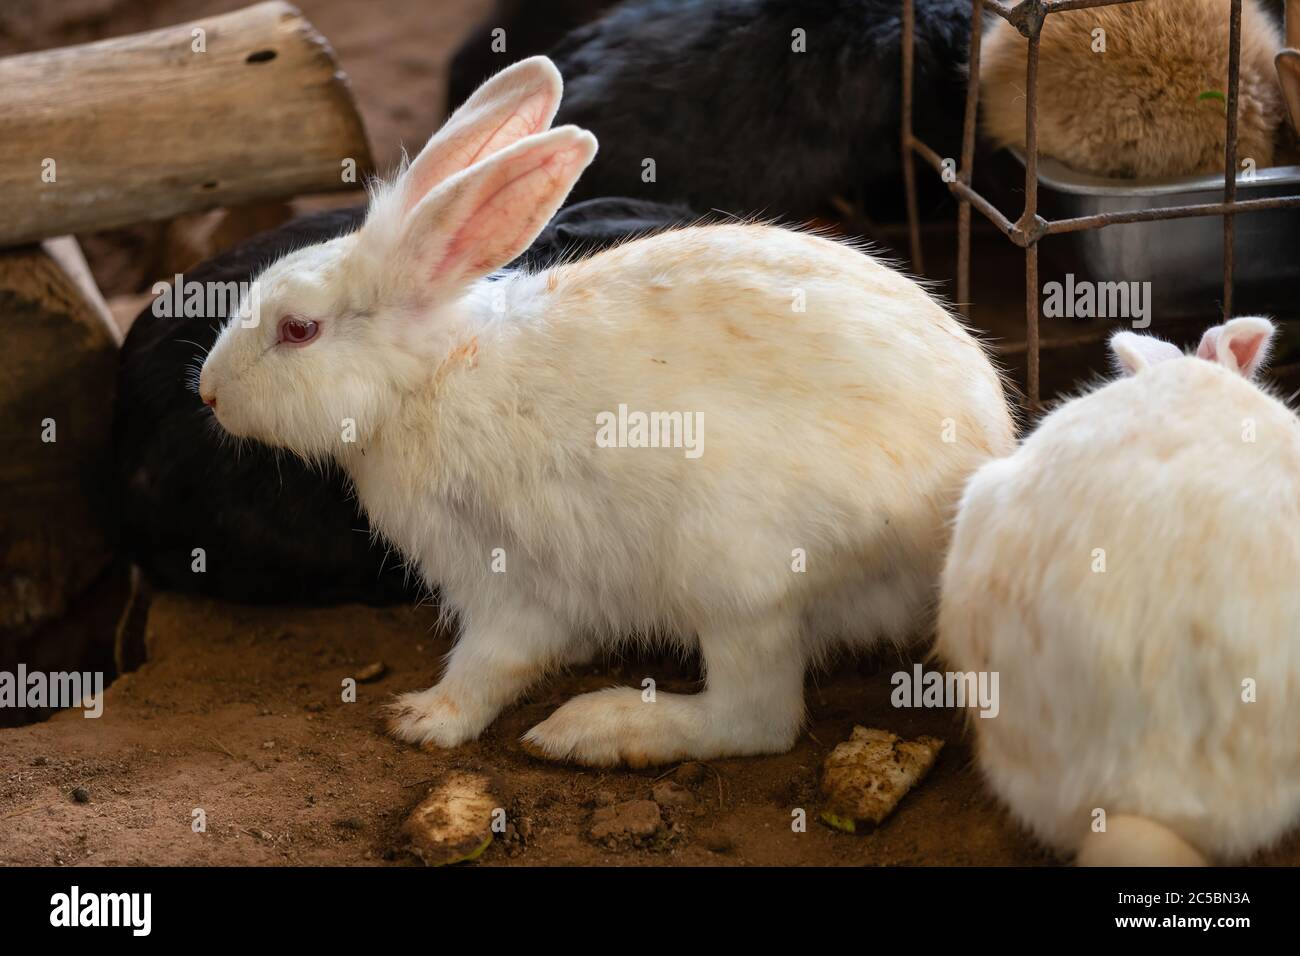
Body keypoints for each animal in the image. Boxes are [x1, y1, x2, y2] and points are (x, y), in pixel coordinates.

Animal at [197, 56, 1016, 767]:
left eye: (298, 331)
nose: (209, 392)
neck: (430, 378)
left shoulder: (503, 574)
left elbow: (490, 662)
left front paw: (423, 719)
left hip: (740, 580)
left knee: (756, 719)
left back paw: (595, 729)